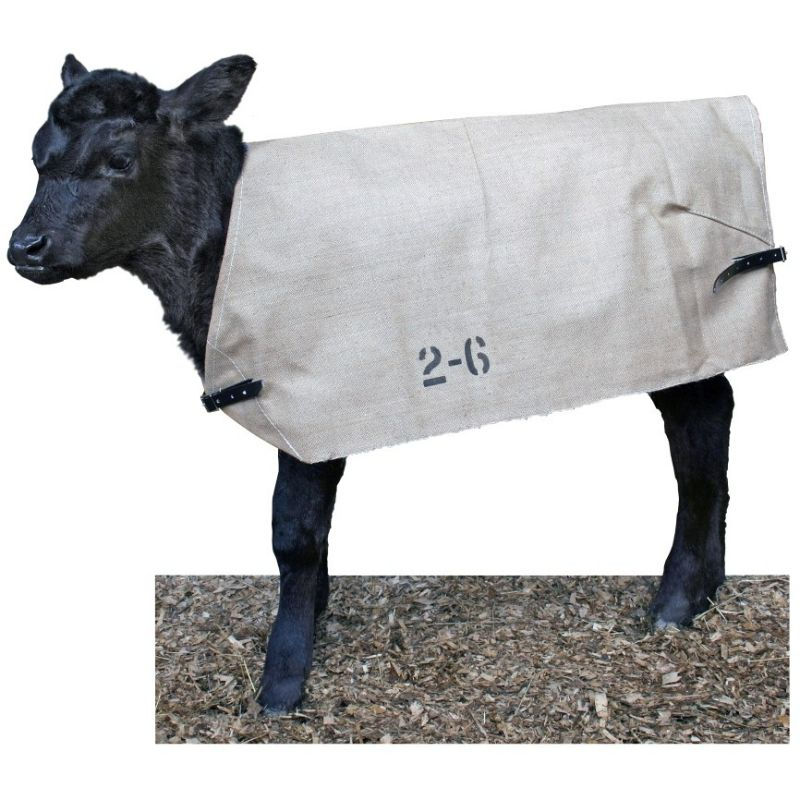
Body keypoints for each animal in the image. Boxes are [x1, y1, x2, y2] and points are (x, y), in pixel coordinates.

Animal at [8, 55, 735, 712]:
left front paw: (283, 681)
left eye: (119, 160)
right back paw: (709, 588)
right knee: (708, 431)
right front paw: (313, 618)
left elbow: (292, 532)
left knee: (698, 446)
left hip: (677, 329)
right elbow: (312, 532)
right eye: (37, 155)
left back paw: (674, 602)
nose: (24, 247)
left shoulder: (305, 394)